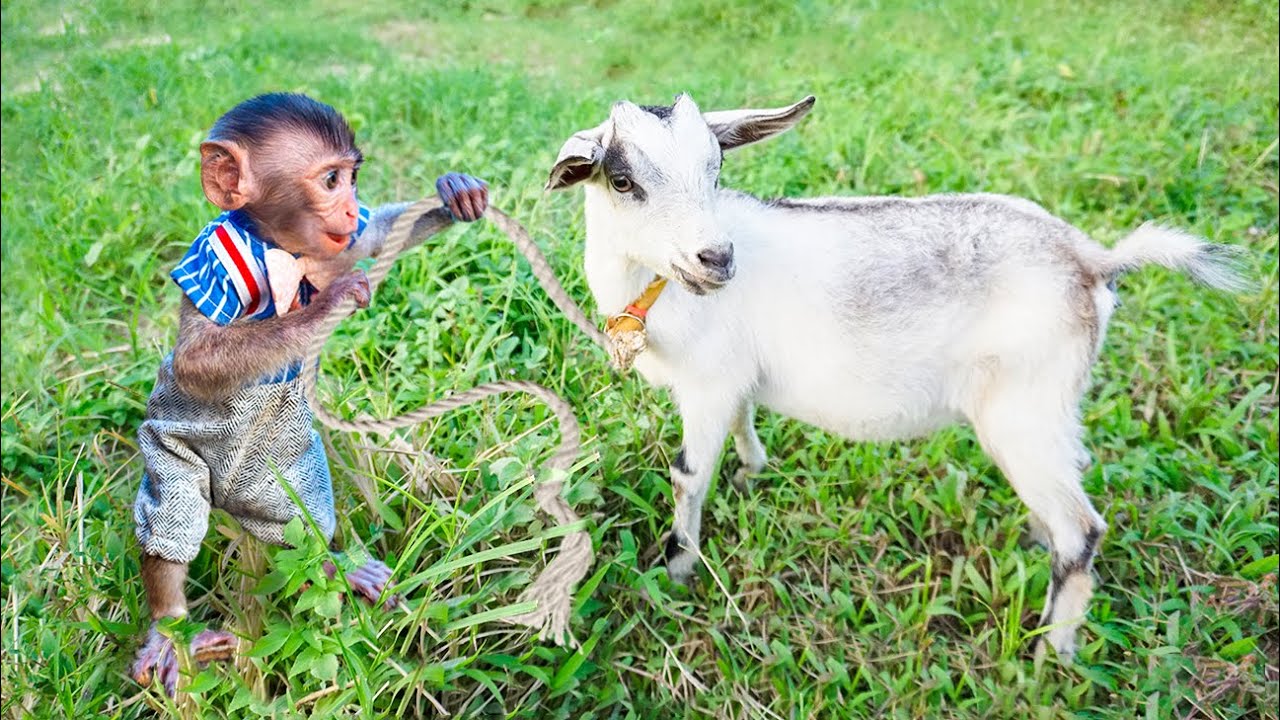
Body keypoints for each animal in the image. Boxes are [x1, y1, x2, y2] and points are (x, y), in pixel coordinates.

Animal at [130, 93, 489, 696]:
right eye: (329, 180)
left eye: (352, 179)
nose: (349, 205)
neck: (279, 249)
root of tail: (231, 502)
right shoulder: (214, 258)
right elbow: (196, 358)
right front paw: (330, 300)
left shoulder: (338, 244)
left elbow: (370, 237)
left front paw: (455, 193)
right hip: (174, 442)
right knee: (174, 512)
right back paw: (169, 633)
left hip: (282, 472)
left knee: (294, 525)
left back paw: (330, 565)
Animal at [546, 94, 1244, 661]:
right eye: (621, 179)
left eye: (717, 168)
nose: (715, 259)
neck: (655, 291)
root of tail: (1091, 258)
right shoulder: (729, 382)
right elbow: (744, 426)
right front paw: (751, 475)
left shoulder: (706, 385)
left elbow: (688, 475)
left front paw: (678, 568)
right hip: (1049, 413)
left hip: (1021, 412)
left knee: (1083, 530)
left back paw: (1050, 653)